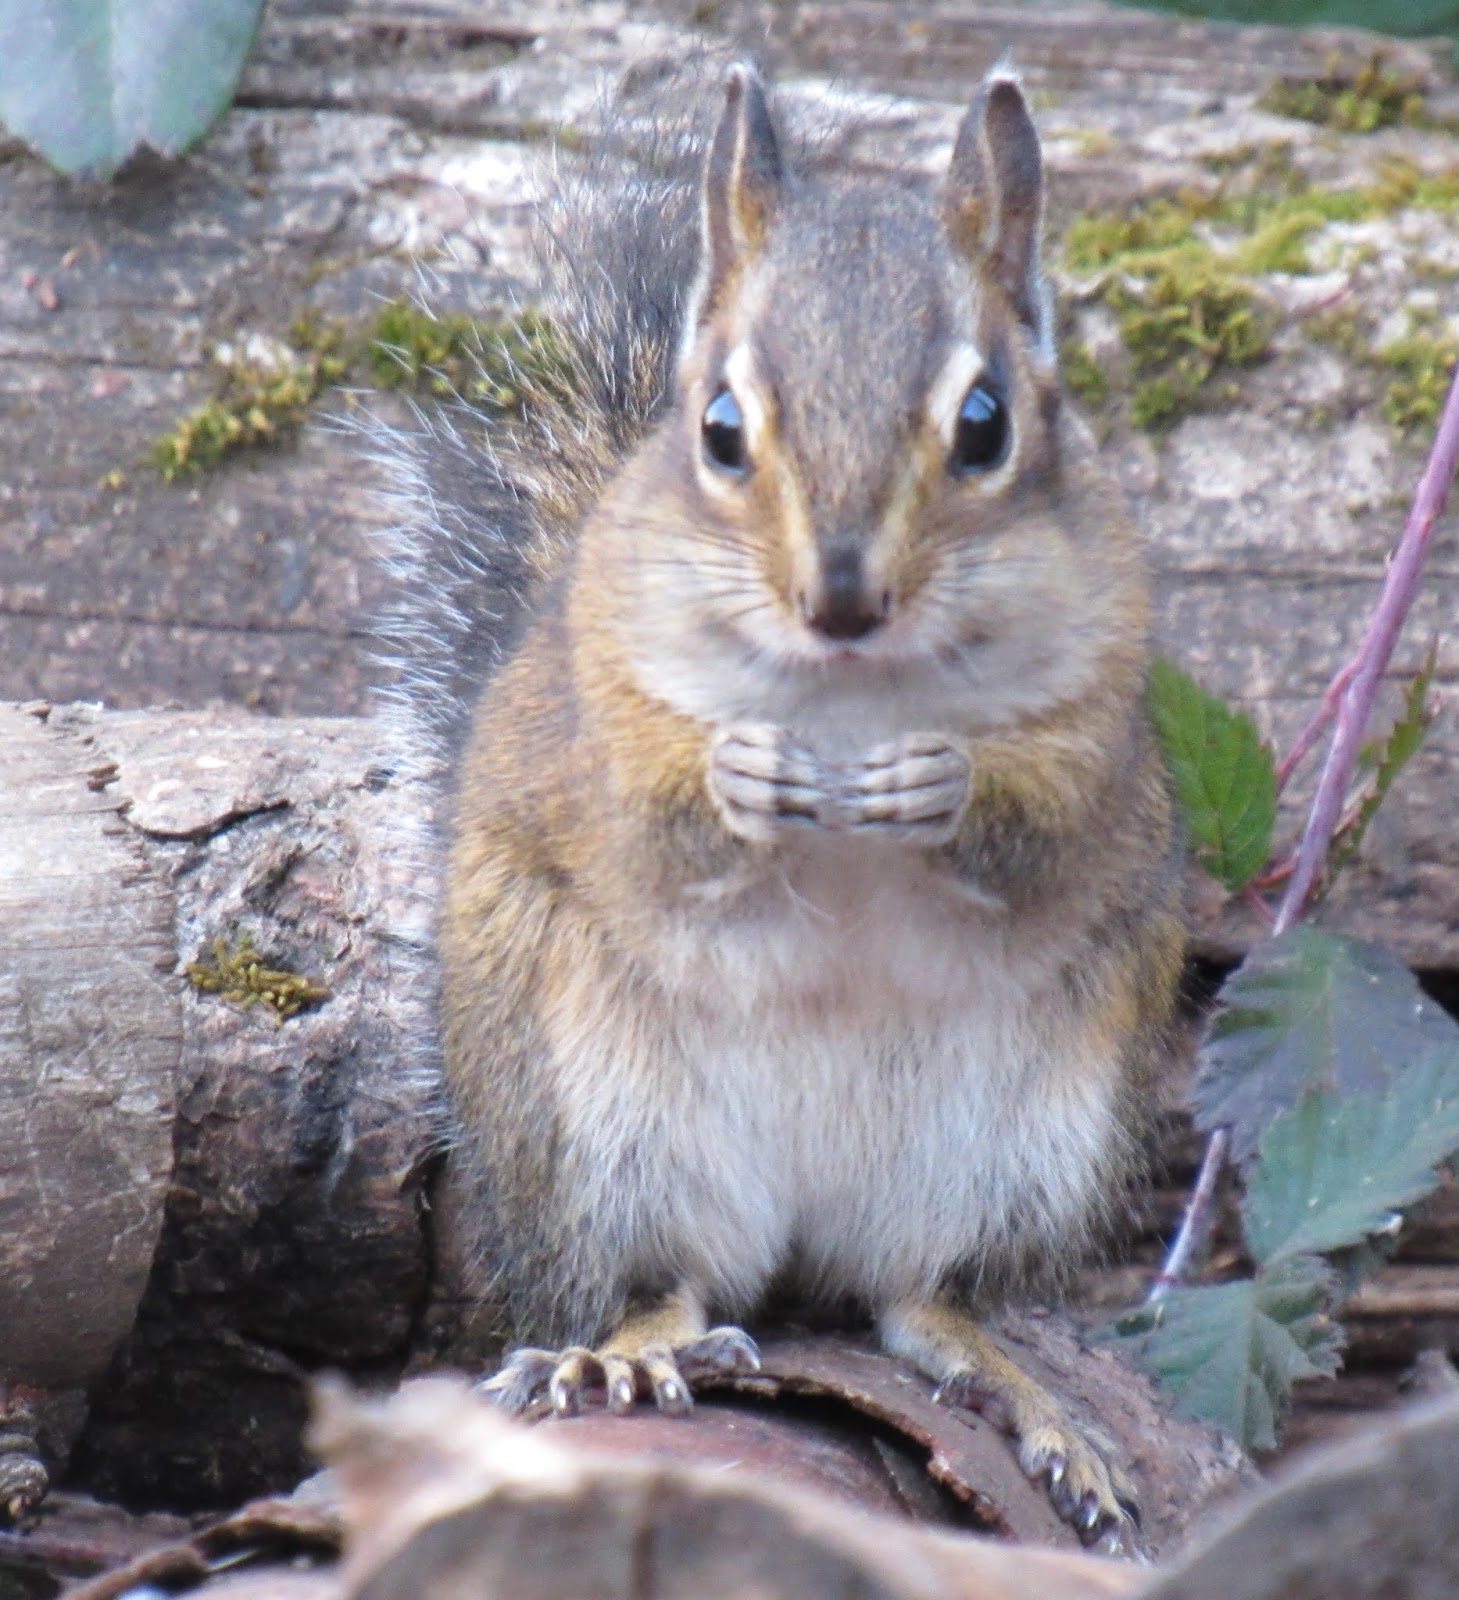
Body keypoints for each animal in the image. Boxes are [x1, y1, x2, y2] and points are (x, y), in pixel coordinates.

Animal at [374, 60, 1185, 1550]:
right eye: (717, 428)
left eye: (985, 422)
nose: (842, 595)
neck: (850, 690)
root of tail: (805, 1234)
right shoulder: (599, 698)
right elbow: (649, 807)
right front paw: (742, 774)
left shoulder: (1102, 695)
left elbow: (1040, 815)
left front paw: (937, 778)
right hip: (593, 1126)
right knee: (664, 1277)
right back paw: (625, 1352)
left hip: (1029, 1136)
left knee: (919, 1297)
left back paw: (1033, 1409)